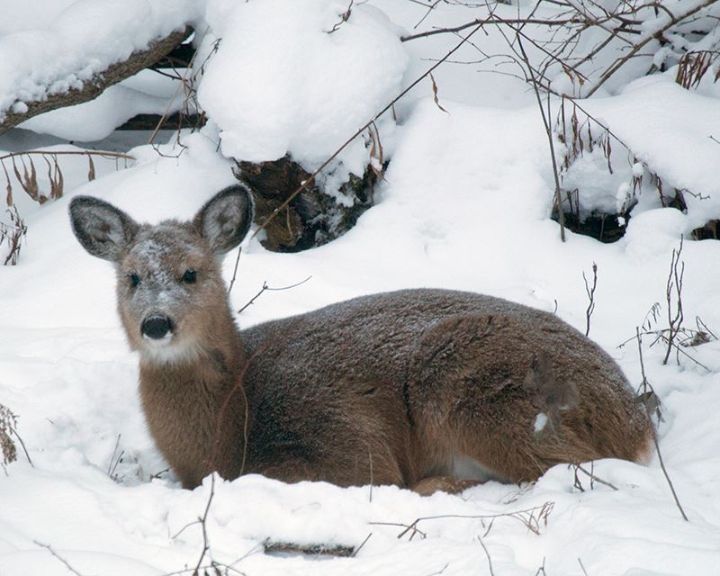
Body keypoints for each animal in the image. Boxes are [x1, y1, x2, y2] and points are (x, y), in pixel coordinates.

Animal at [69, 185, 653, 494]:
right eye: (131, 278)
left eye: (192, 273)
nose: (156, 324)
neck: (232, 416)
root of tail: (631, 418)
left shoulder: (345, 440)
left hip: (477, 393)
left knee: (567, 468)